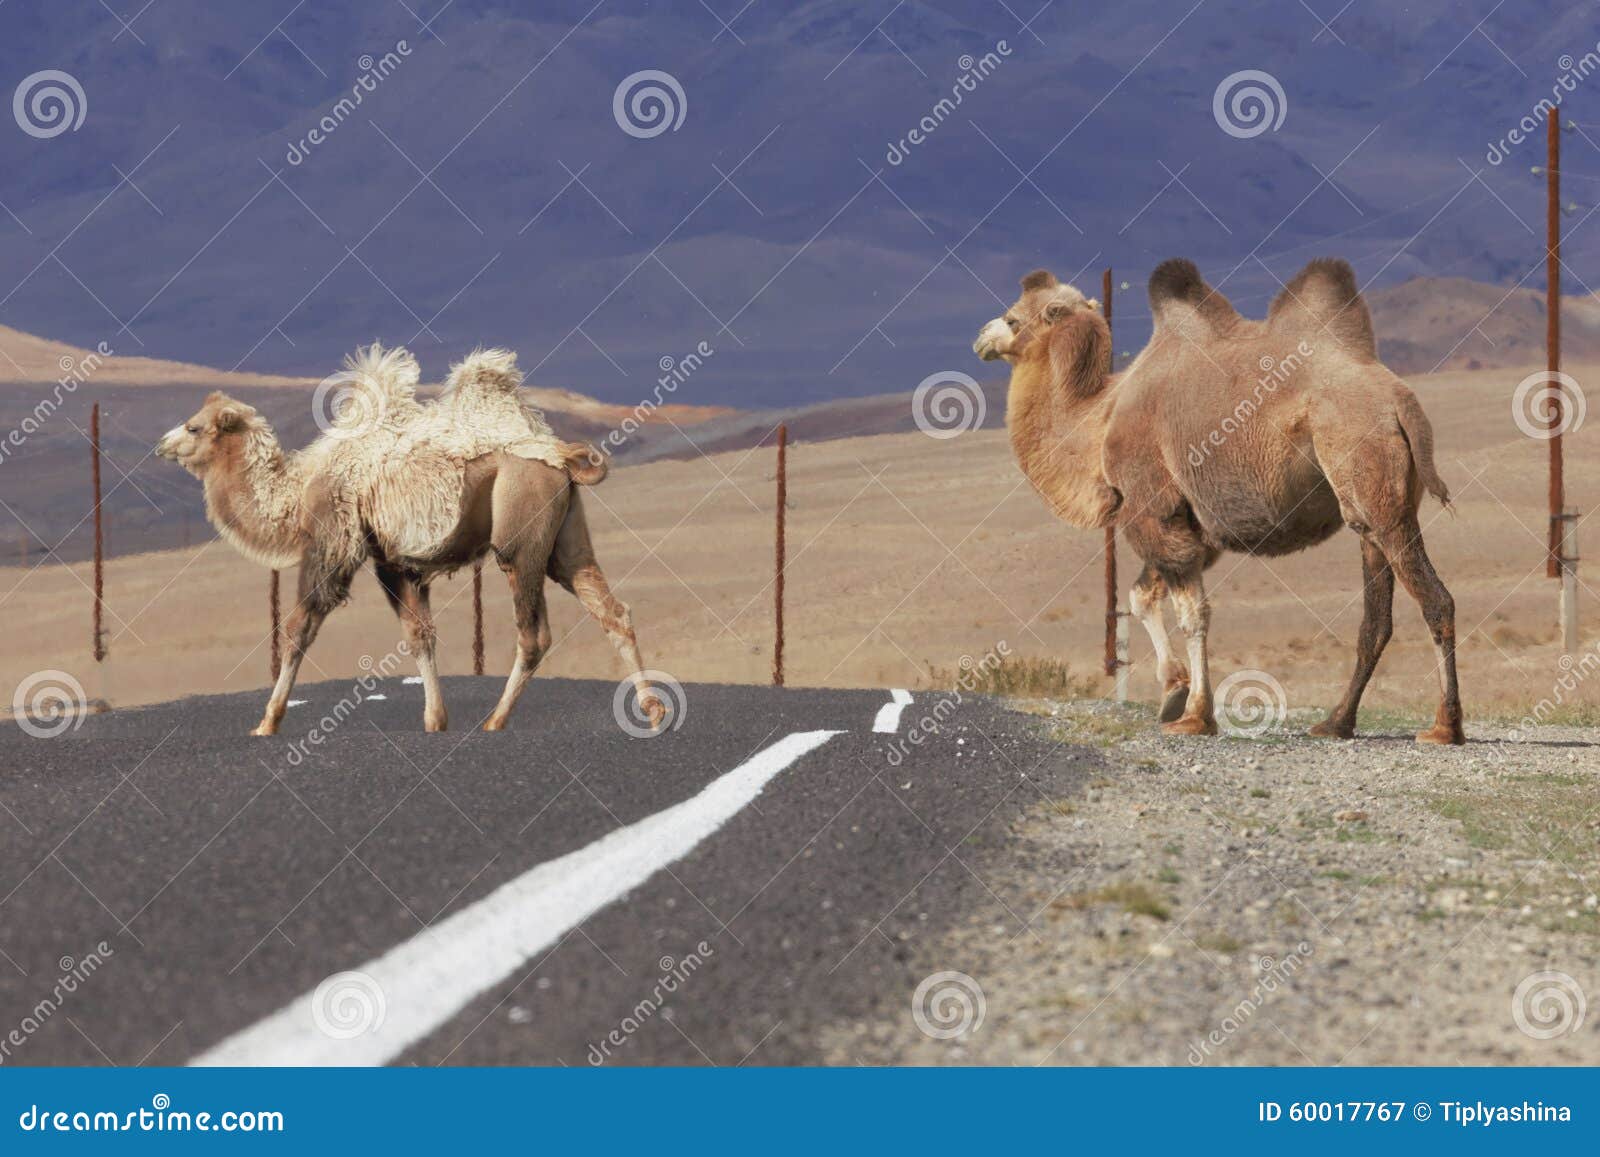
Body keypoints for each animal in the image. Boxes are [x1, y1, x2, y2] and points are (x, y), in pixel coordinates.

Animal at [155, 344, 666, 736]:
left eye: (195, 426)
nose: (161, 445)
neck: (297, 494)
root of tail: (558, 453)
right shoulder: (393, 560)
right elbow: (419, 635)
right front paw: (435, 720)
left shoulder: (335, 542)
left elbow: (300, 626)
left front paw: (267, 722)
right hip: (566, 535)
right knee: (611, 609)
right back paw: (652, 709)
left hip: (520, 530)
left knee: (534, 632)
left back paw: (496, 720)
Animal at [974, 258, 1464, 745]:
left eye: (1013, 318)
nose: (981, 338)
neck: (1100, 421)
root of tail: (1400, 403)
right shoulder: (1190, 524)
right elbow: (1141, 596)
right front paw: (1174, 690)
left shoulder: (1152, 507)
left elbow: (1192, 615)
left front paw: (1194, 714)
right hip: (1376, 500)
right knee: (1376, 617)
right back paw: (1336, 722)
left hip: (1368, 473)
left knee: (1434, 599)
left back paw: (1444, 726)